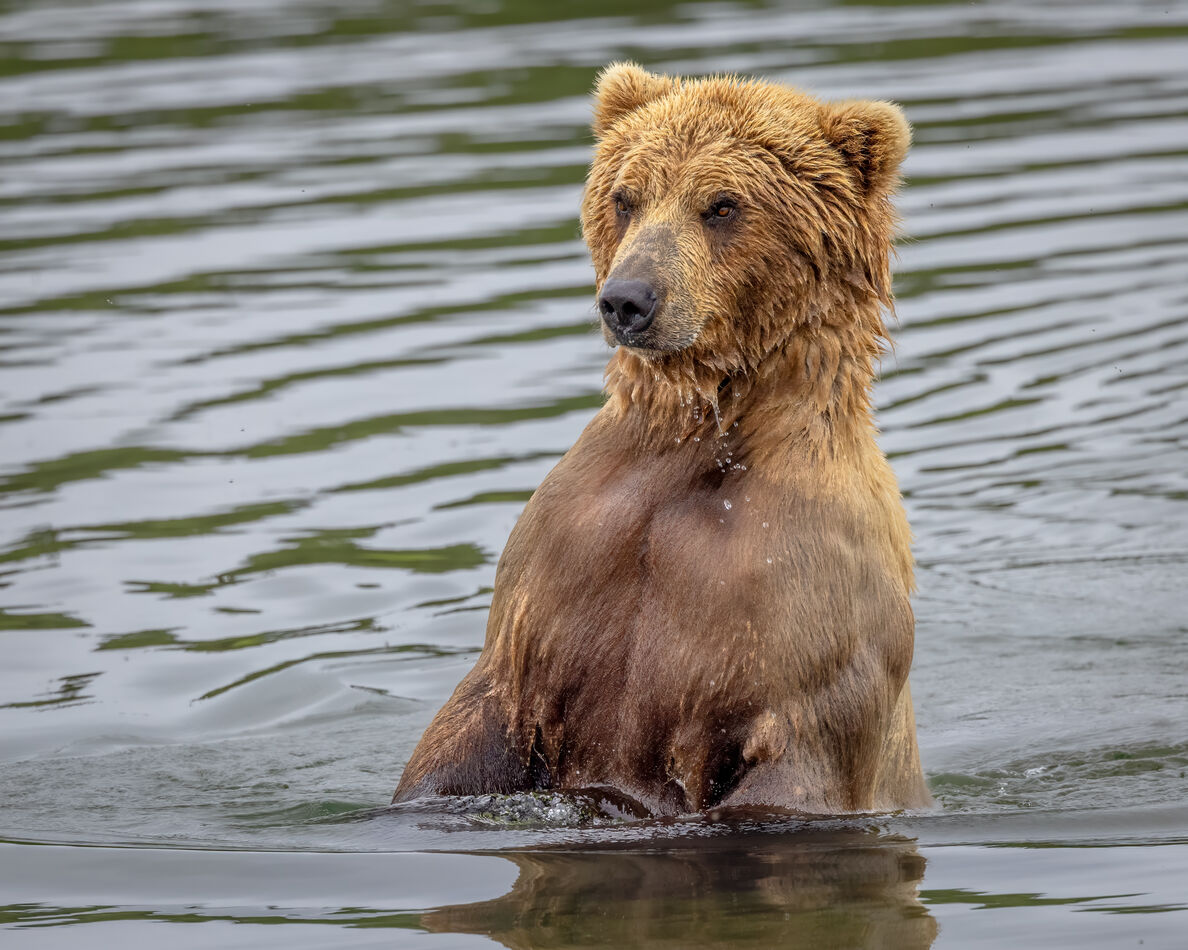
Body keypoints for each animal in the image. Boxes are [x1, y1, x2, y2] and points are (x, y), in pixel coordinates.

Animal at [393, 63, 930, 816]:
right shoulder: (566, 563)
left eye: (723, 205)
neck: (701, 437)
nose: (628, 299)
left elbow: (796, 761)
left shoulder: (803, 605)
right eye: (625, 196)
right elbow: (472, 725)